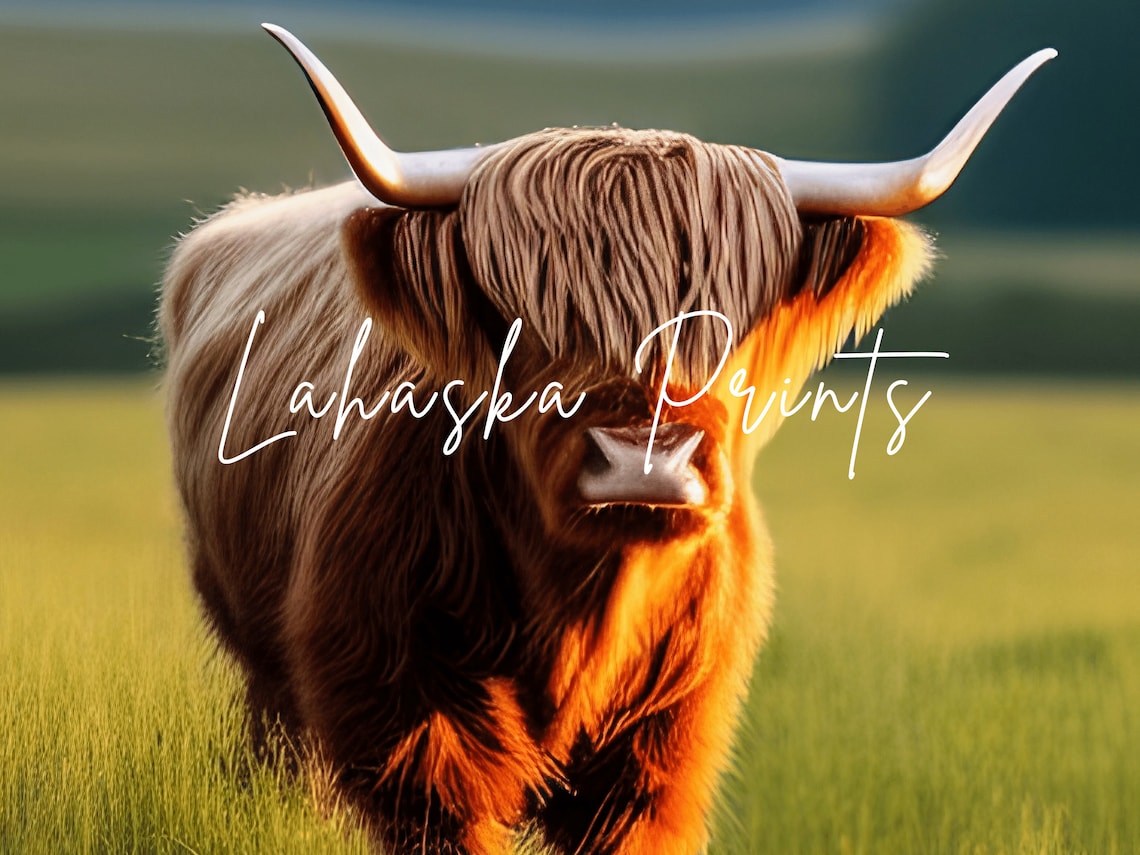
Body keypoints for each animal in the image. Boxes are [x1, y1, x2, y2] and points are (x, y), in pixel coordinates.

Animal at [159, 24, 1054, 855]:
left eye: (729, 322)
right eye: (524, 318)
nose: (644, 463)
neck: (580, 605)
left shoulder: (658, 758)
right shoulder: (401, 716)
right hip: (262, 665)